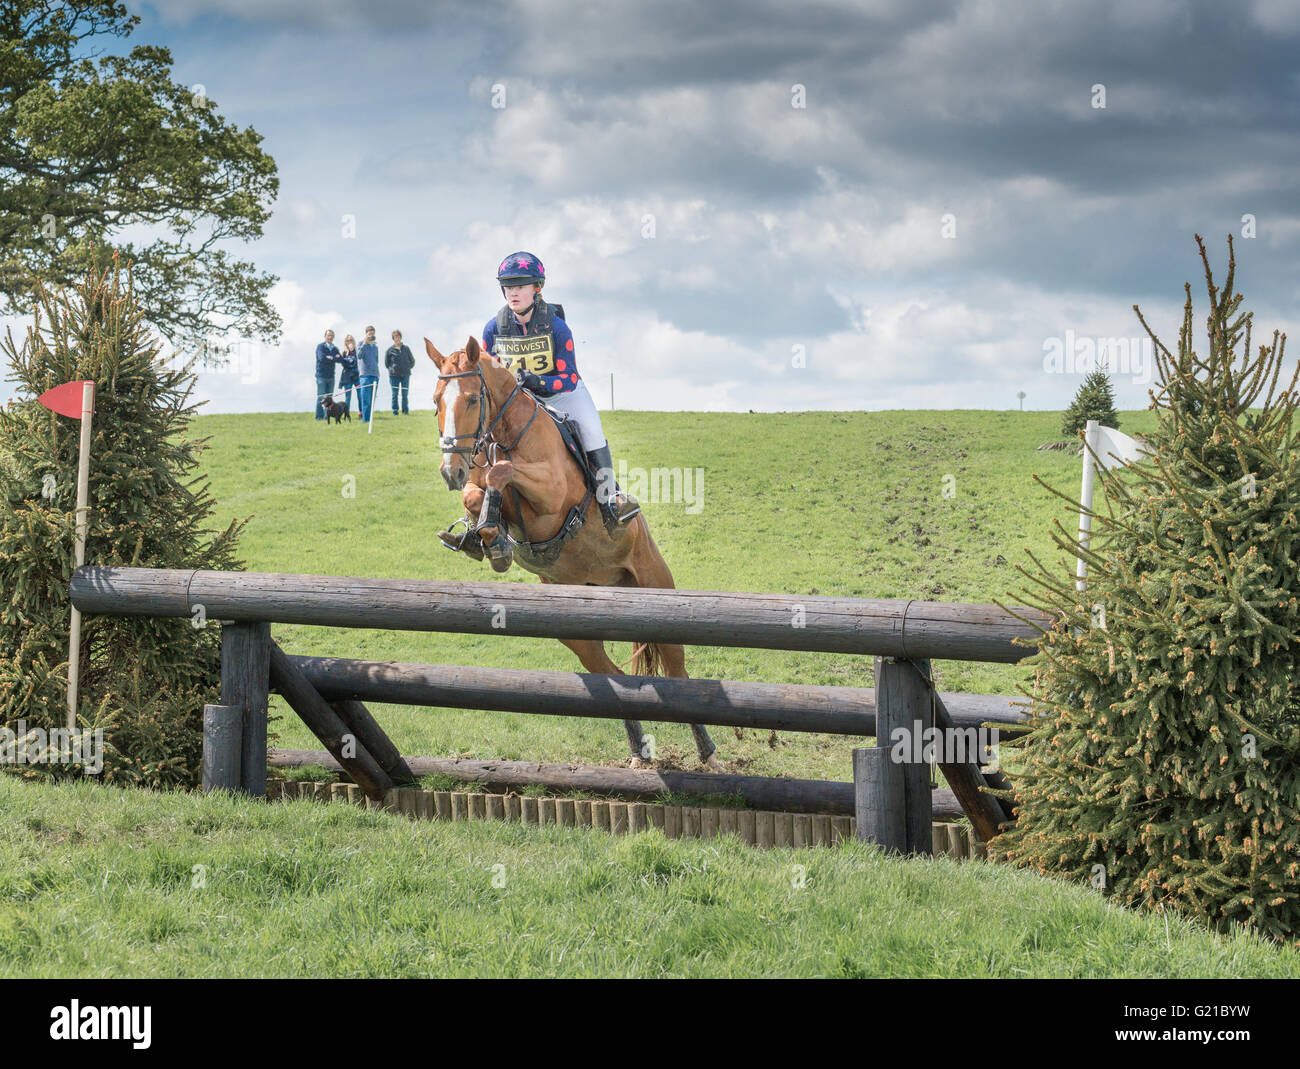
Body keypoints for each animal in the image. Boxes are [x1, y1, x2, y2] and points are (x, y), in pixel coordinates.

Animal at [426, 335, 718, 769]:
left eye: (473, 400)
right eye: (435, 402)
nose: (450, 471)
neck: (504, 432)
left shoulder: (552, 493)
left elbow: (502, 471)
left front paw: (493, 525)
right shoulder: (479, 481)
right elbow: (477, 492)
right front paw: (490, 540)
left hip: (656, 588)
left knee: (677, 674)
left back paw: (708, 755)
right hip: (575, 627)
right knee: (612, 674)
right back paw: (639, 753)